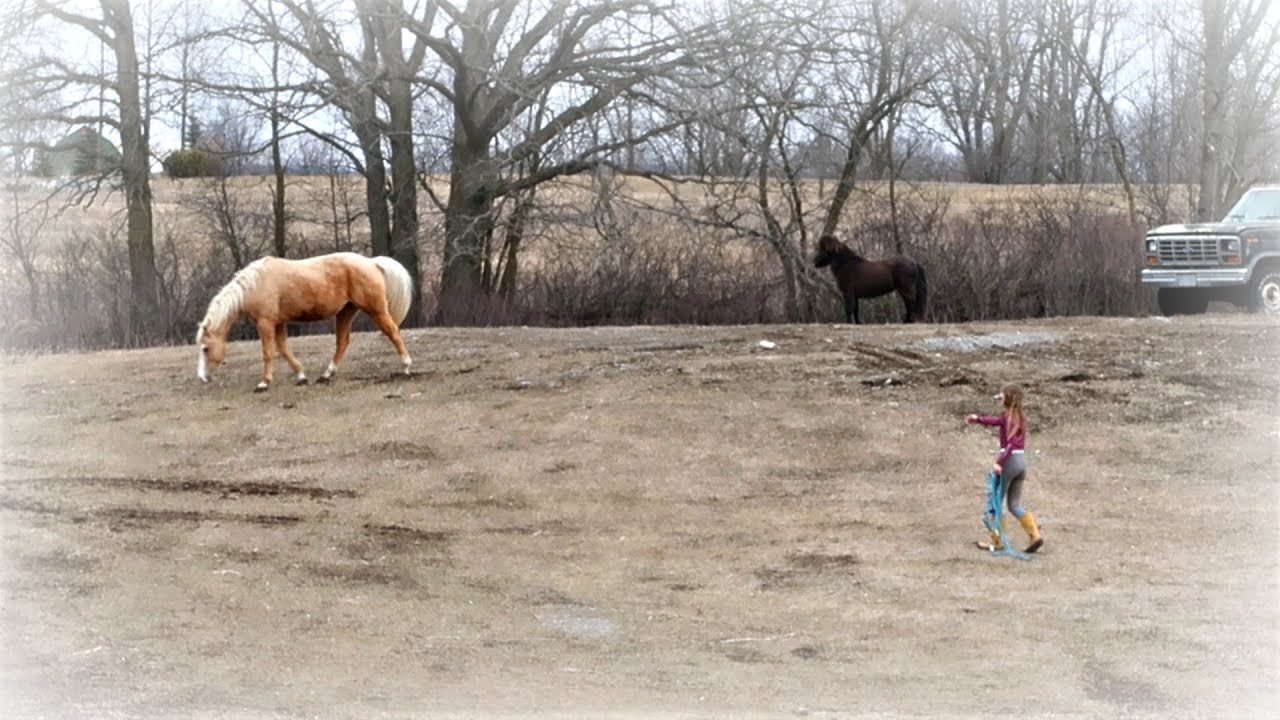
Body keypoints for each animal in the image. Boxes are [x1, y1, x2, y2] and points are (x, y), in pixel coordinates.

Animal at [196, 252, 414, 391]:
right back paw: (326, 375)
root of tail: (371, 262)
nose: (203, 378)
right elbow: (283, 349)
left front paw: (264, 383)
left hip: (376, 310)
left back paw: (406, 366)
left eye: (205, 348)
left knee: (393, 332)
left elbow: (268, 352)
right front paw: (301, 375)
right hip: (345, 312)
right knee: (342, 343)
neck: (256, 283)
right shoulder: (278, 323)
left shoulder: (265, 323)